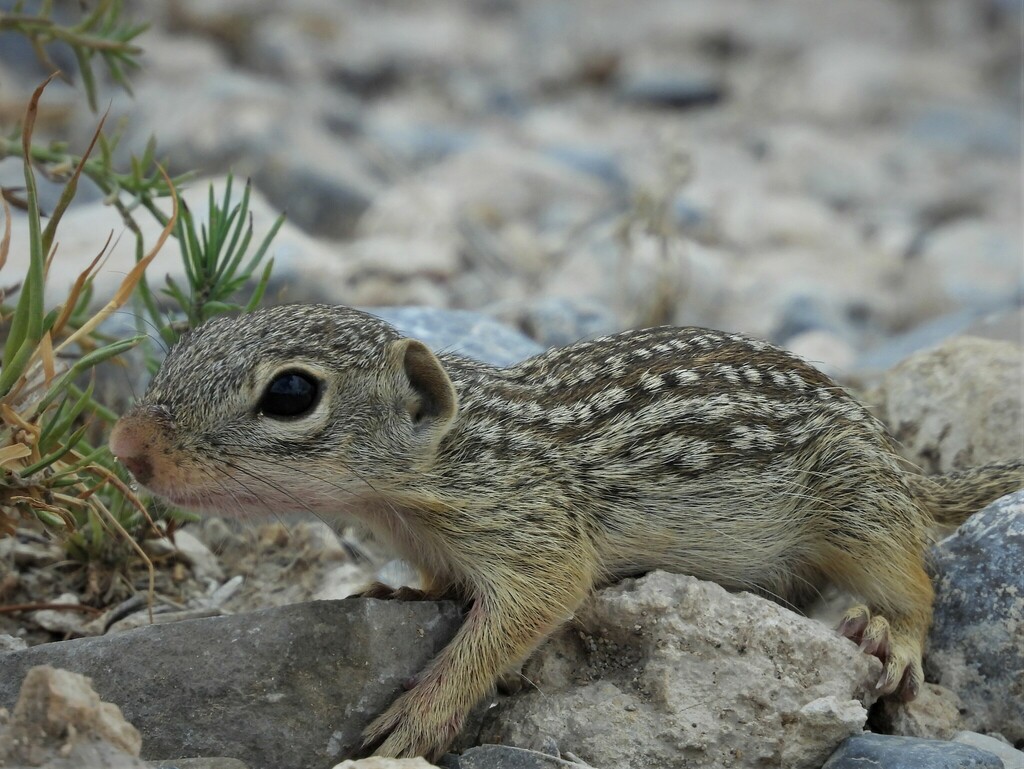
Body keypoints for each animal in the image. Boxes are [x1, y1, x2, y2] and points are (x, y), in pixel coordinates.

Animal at [109, 303, 1024, 760]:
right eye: (186, 343)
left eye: (291, 394)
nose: (124, 446)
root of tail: (899, 459)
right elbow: (439, 590)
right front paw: (388, 589)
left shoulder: (533, 531)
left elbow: (520, 616)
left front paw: (419, 717)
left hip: (858, 506)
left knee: (914, 579)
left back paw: (894, 632)